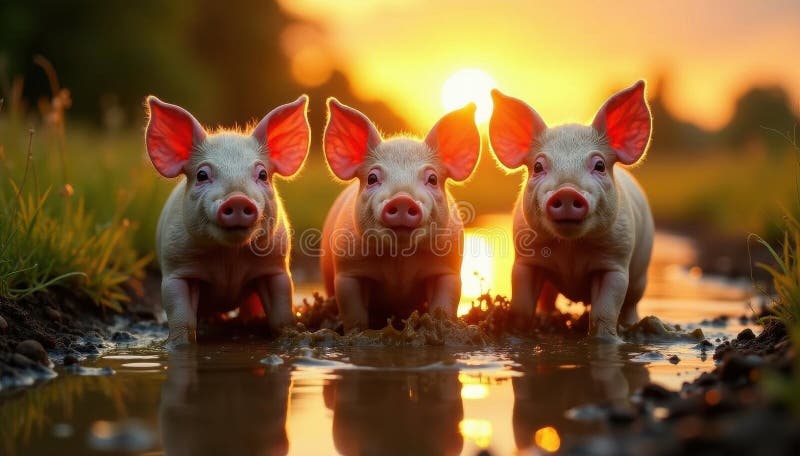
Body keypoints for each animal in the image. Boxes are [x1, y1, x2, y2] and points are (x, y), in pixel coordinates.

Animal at [145, 95, 310, 347]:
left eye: (262, 175)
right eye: (202, 175)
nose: (238, 199)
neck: (229, 257)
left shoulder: (275, 267)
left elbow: (282, 314)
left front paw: (290, 336)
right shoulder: (176, 270)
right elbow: (182, 318)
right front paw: (178, 346)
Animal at [321, 98, 481, 331]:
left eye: (432, 179)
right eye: (372, 178)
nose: (403, 198)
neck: (400, 262)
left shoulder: (448, 268)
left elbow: (444, 304)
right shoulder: (347, 271)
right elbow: (354, 313)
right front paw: (358, 333)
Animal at [488, 81, 654, 341]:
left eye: (599, 165)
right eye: (538, 166)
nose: (567, 191)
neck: (571, 251)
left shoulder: (616, 263)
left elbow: (605, 312)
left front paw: (607, 341)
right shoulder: (527, 261)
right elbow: (522, 307)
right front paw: (518, 336)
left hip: (641, 277)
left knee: (631, 304)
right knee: (547, 299)